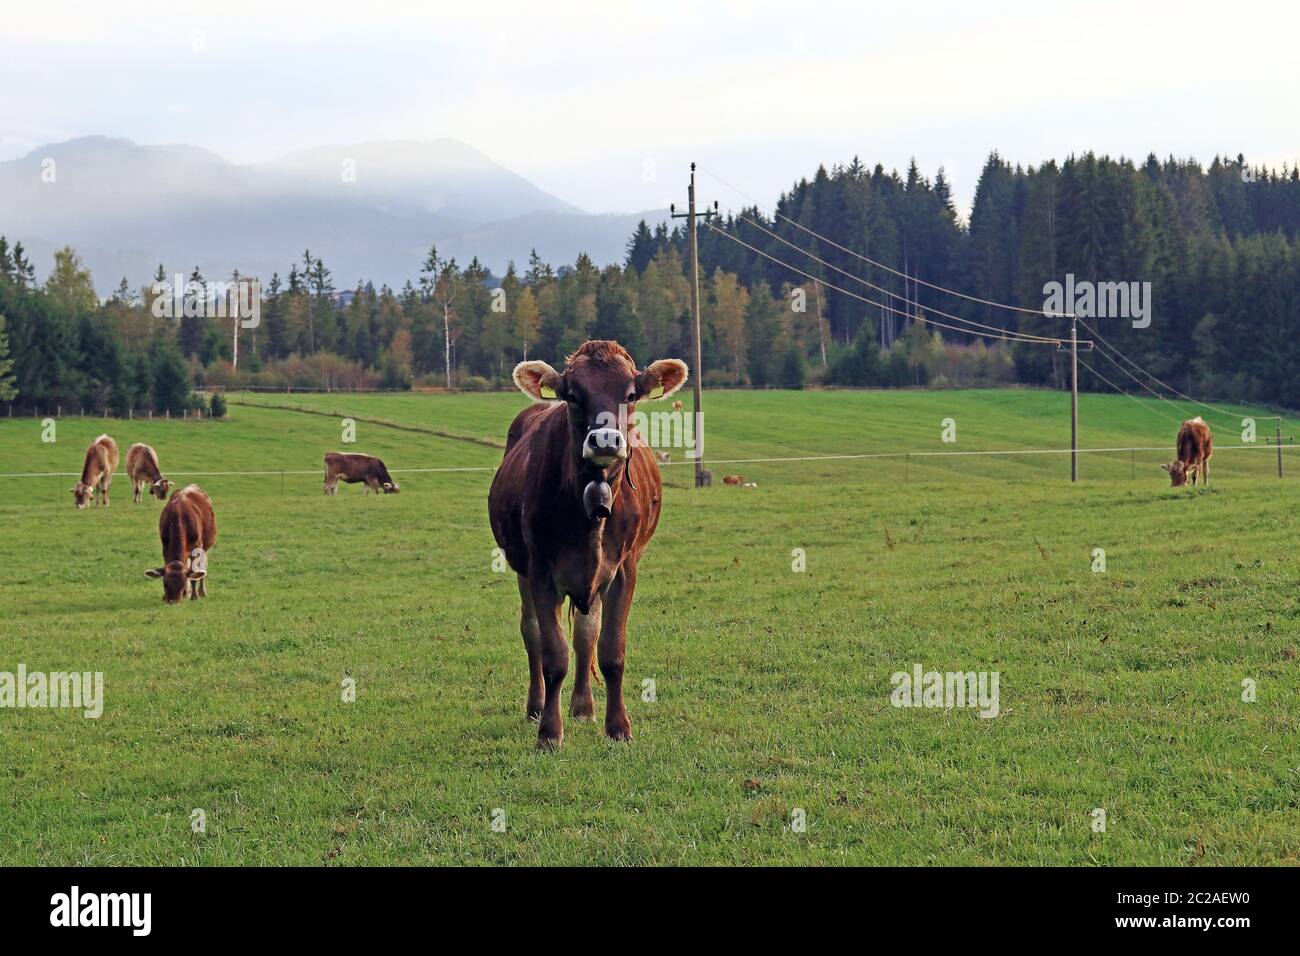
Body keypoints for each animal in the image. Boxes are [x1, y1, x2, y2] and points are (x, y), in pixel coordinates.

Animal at [488, 340, 688, 749]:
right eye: (573, 395)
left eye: (630, 395)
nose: (605, 440)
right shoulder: (541, 570)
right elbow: (553, 654)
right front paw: (549, 733)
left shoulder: (624, 570)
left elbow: (610, 651)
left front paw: (619, 727)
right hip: (522, 568)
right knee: (531, 630)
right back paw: (536, 707)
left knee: (585, 633)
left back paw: (583, 707)